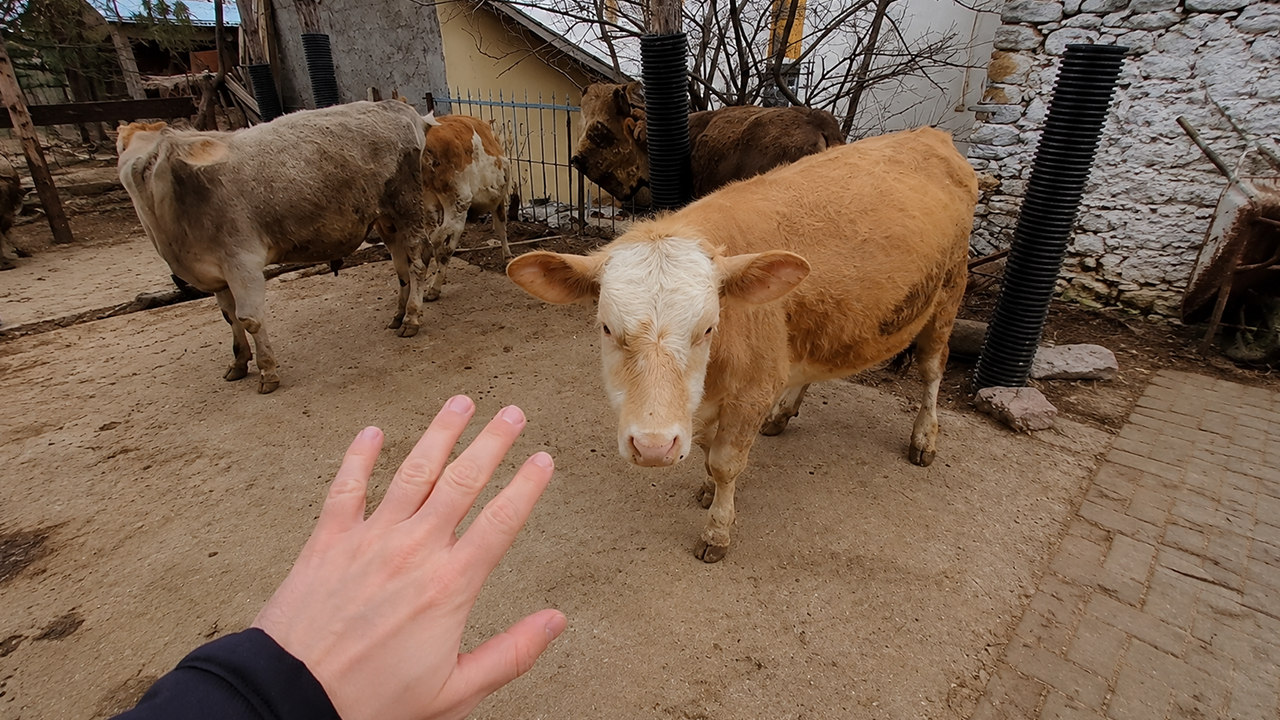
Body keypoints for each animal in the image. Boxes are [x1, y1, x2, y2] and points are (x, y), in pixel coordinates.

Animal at [117, 100, 434, 394]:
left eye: (155, 159)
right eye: (123, 151)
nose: (137, 173)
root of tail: (398, 107)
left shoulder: (242, 263)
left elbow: (249, 319)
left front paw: (267, 371)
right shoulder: (219, 275)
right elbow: (229, 317)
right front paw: (239, 361)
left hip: (407, 206)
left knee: (418, 261)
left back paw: (412, 317)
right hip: (386, 220)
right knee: (401, 265)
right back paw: (399, 314)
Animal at [406, 112, 511, 303]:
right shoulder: (499, 197)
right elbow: (501, 226)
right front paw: (507, 257)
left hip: (429, 203)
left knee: (435, 237)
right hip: (459, 201)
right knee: (446, 240)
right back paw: (434, 288)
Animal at [509, 127, 978, 562]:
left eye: (708, 328)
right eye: (606, 328)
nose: (654, 447)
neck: (710, 385)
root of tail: (931, 135)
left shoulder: (752, 390)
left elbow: (725, 463)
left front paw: (717, 530)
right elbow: (706, 454)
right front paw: (704, 486)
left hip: (949, 292)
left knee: (932, 369)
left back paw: (924, 438)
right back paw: (785, 411)